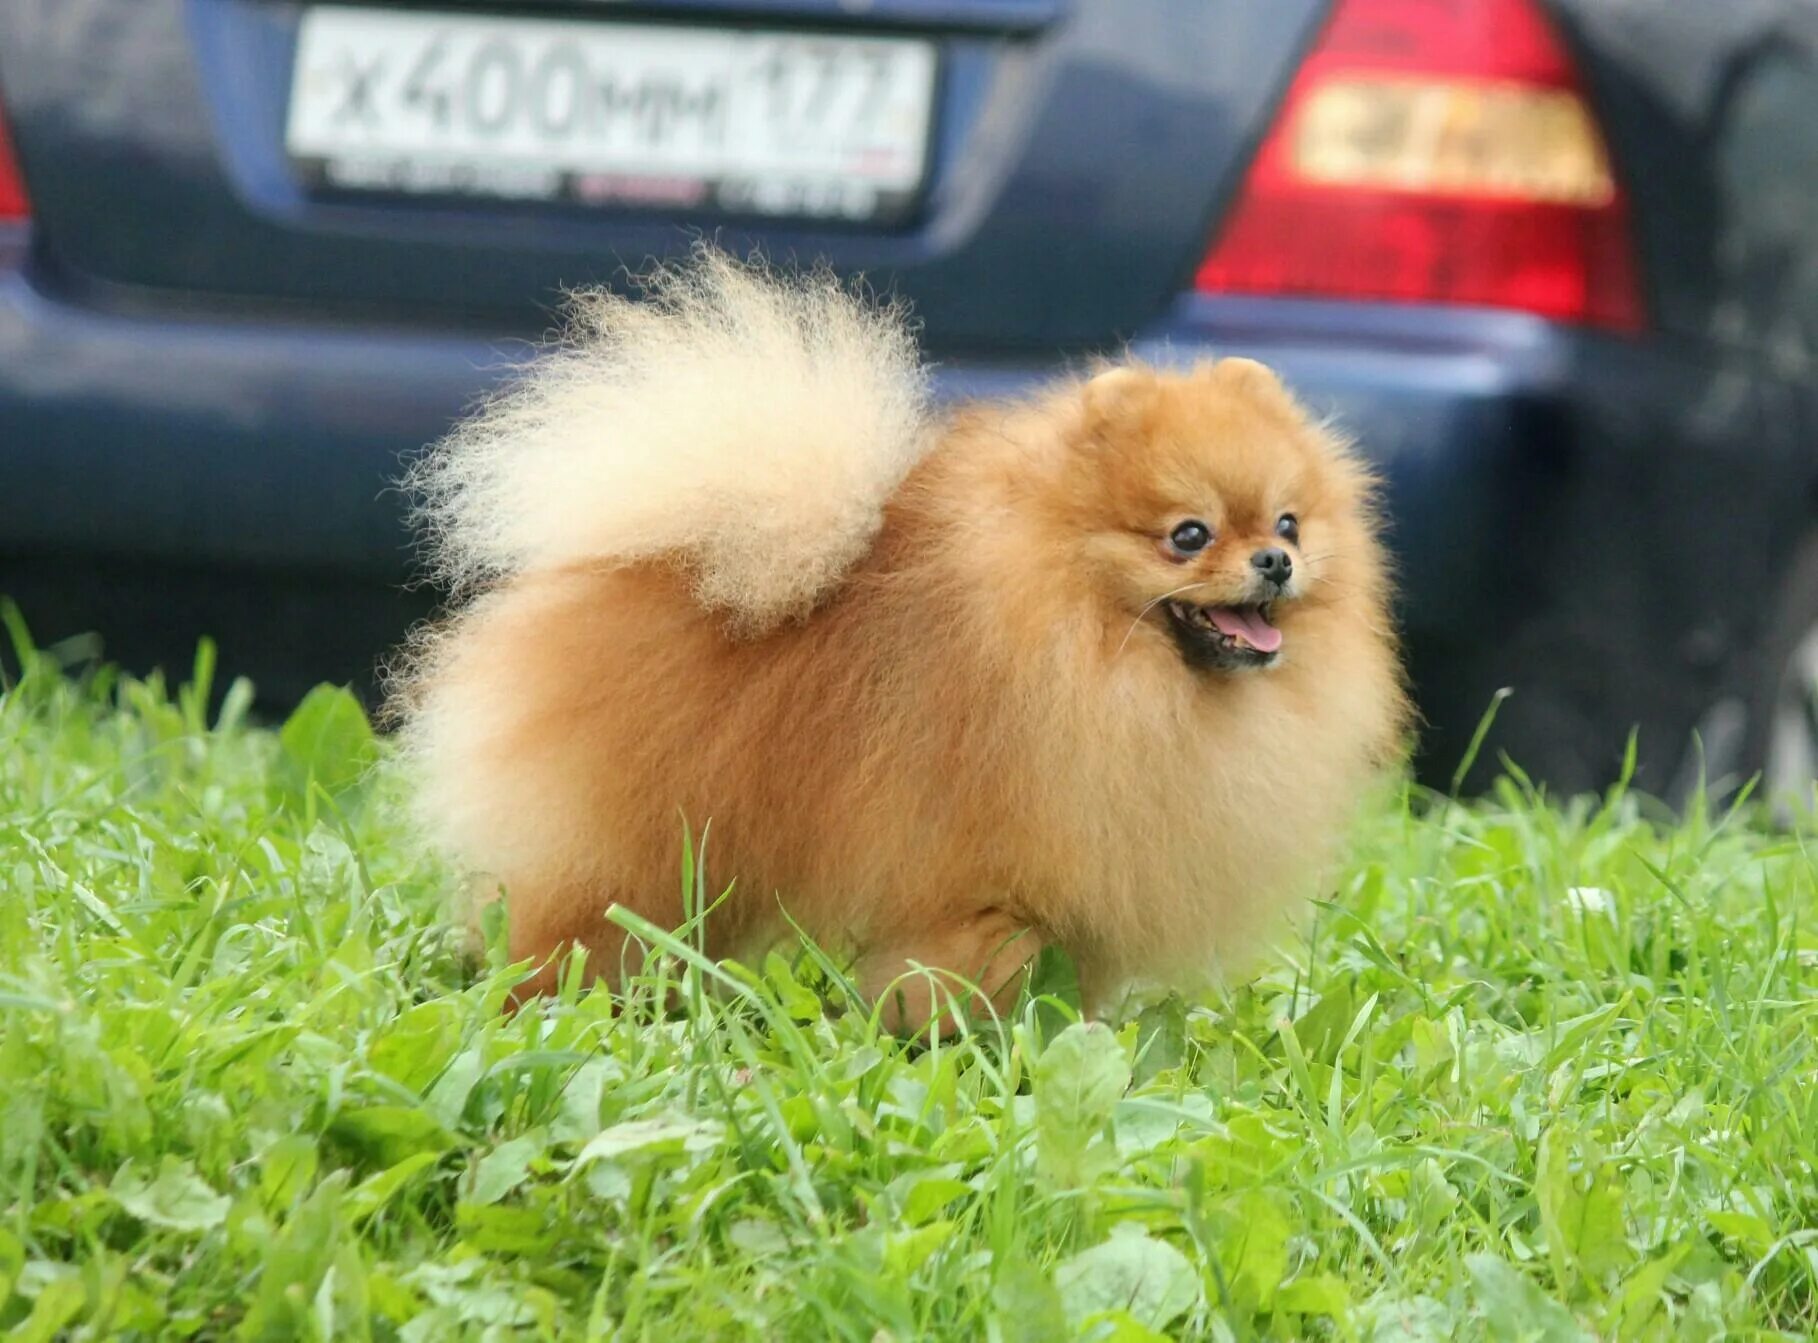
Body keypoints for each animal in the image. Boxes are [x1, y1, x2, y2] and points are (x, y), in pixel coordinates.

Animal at [390, 252, 1396, 1024]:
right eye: (1188, 535)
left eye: (1290, 521)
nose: (1274, 561)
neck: (1094, 650)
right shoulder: (986, 886)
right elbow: (963, 979)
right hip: (629, 847)